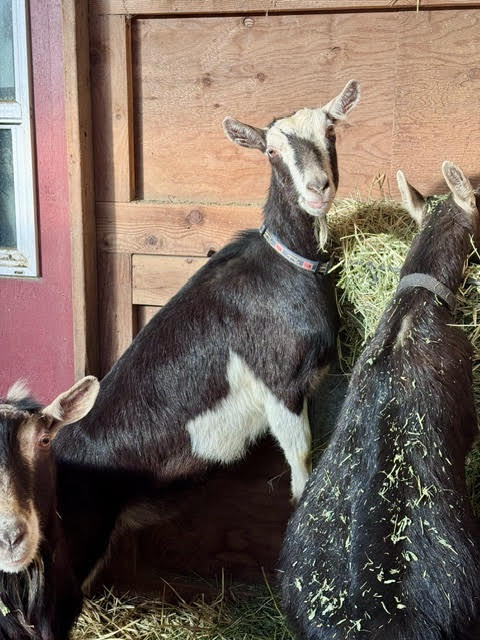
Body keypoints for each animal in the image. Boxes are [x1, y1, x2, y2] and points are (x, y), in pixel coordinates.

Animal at [52, 80, 361, 589]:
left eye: (331, 131)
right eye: (271, 151)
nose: (318, 188)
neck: (288, 264)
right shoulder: (281, 386)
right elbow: (300, 474)